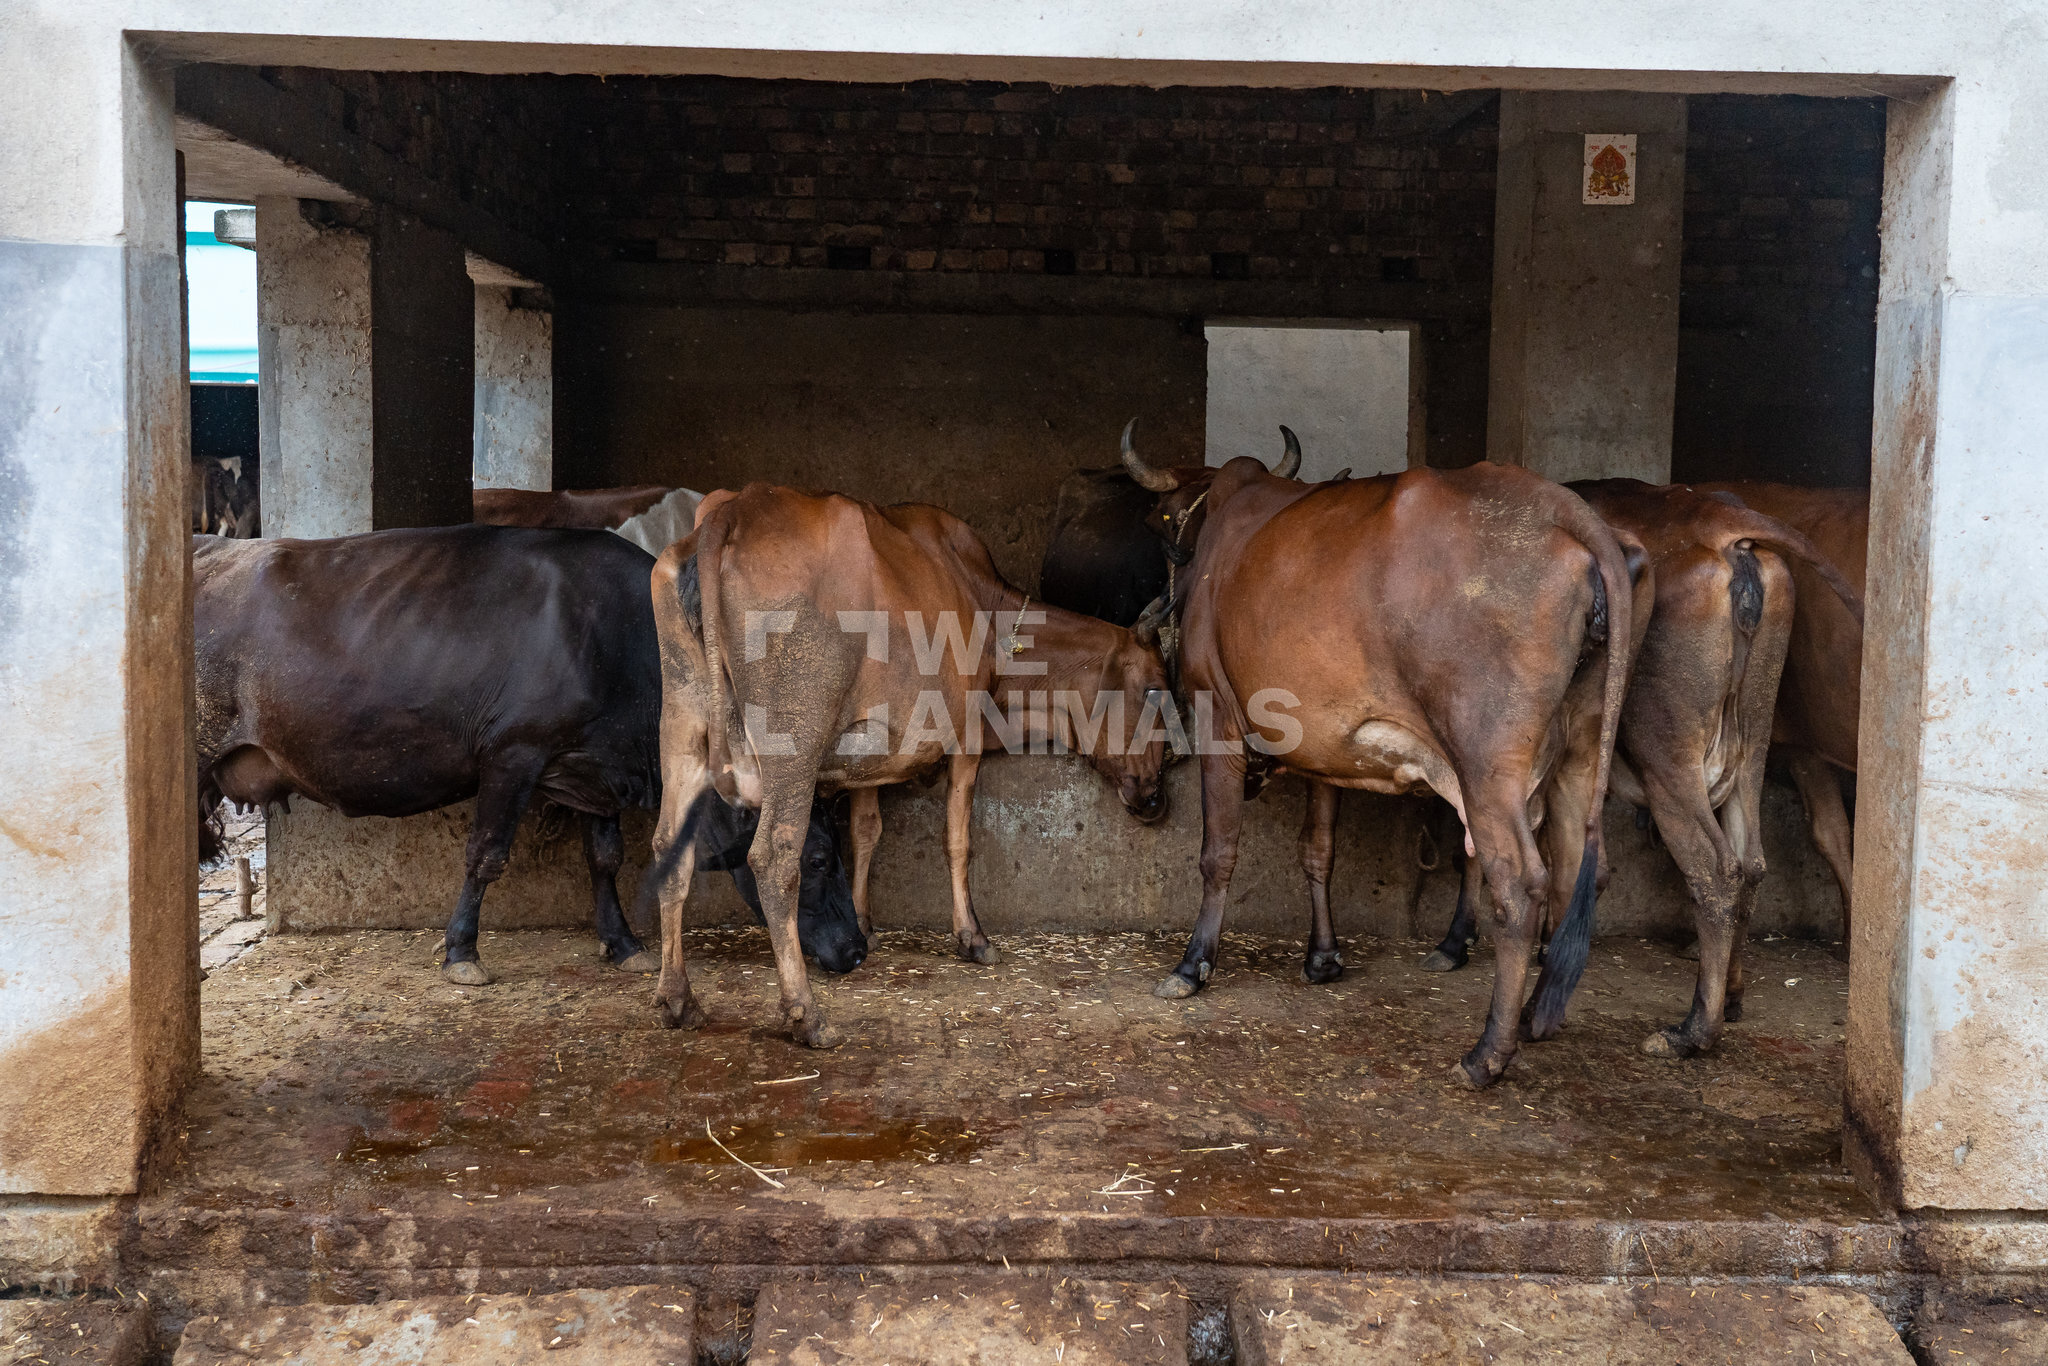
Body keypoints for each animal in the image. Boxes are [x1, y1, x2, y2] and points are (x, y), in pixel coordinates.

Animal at [192, 527, 867, 985]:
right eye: (816, 857)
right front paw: (462, 953)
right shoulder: (512, 754)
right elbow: (486, 856)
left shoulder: (597, 770)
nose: (859, 949)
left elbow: (603, 857)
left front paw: (623, 943)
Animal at [637, 485, 1175, 1048]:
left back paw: (678, 999)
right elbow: (957, 839)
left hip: (682, 723)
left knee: (669, 847)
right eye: (1156, 688)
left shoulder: (867, 751)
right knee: (774, 859)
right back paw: (807, 1014)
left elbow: (866, 830)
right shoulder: (966, 735)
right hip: (794, 740)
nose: (1157, 794)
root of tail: (734, 507)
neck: (988, 611)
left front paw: (865, 924)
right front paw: (972, 936)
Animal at [1118, 423, 1640, 1089]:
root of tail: (1559, 506)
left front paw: (1193, 965)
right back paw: (1532, 1017)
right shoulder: (1321, 749)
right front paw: (1322, 956)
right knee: (1579, 871)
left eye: (1162, 530)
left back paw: (1487, 1052)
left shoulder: (1218, 719)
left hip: (1486, 765)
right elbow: (1317, 851)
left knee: (1520, 884)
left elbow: (1218, 852)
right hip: (1577, 757)